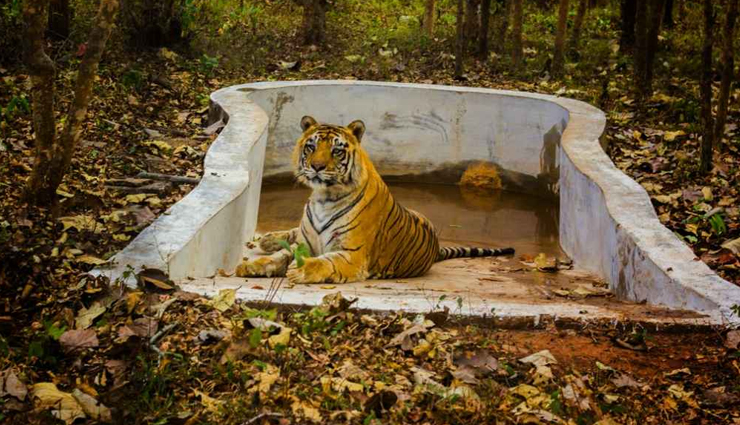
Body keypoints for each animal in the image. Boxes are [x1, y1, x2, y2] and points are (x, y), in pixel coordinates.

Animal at [235, 116, 514, 284]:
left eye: (336, 150)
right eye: (311, 147)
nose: (316, 167)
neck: (323, 197)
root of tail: (436, 246)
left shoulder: (352, 254)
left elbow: (324, 262)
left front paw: (301, 270)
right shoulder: (304, 242)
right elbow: (280, 255)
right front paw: (252, 265)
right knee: (290, 232)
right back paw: (267, 239)